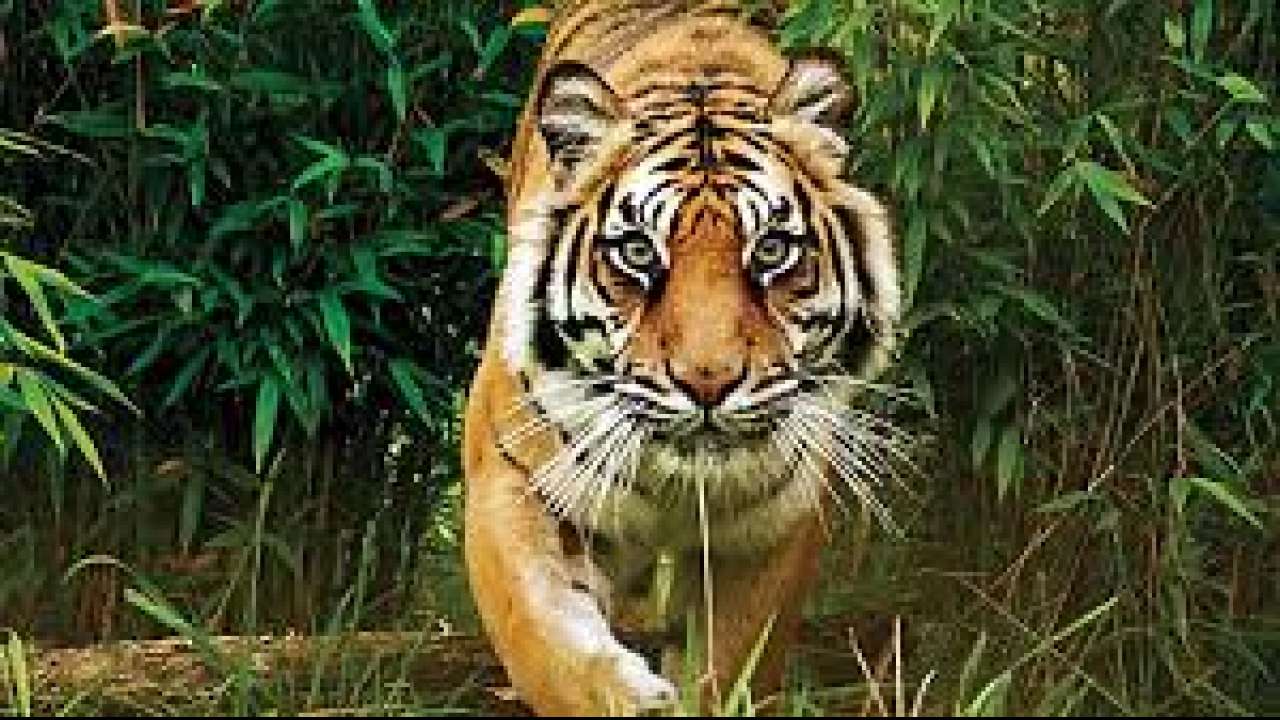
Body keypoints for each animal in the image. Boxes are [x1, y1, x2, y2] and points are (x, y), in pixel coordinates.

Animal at [462, 0, 902, 715]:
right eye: (639, 252)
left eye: (772, 249)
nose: (708, 382)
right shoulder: (515, 480)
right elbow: (550, 643)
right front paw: (628, 695)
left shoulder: (771, 529)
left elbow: (728, 666)